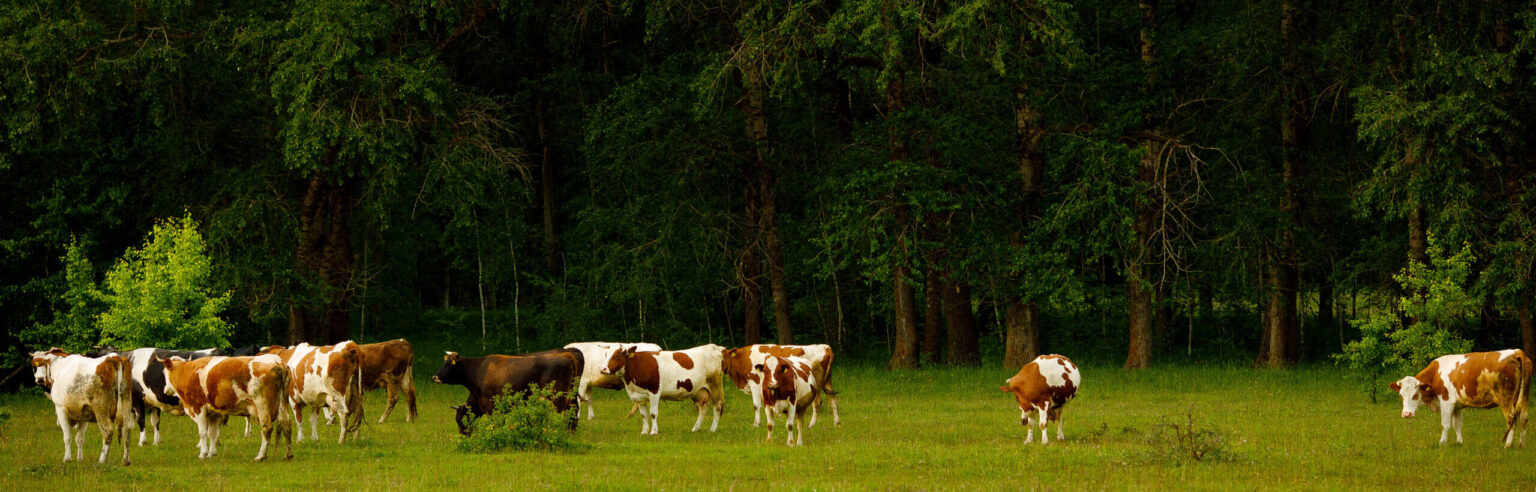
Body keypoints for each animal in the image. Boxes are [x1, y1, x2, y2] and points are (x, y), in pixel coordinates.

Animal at [85, 346, 223, 446]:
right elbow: (155, 422)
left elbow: (141, 421)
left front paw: (142, 441)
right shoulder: (153, 402)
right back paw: (216, 442)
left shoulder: (138, 399)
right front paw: (157, 441)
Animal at [159, 354, 293, 461]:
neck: (188, 373)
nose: (165, 390)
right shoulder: (212, 412)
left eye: (164, 373)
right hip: (283, 403)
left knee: (266, 428)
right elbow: (212, 433)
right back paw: (288, 454)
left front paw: (203, 454)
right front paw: (211, 454)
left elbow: (203, 433)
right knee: (287, 424)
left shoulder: (198, 407)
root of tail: (278, 362)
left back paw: (261, 456)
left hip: (262, 405)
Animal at [433, 348, 583, 435]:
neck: (478, 370)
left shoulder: (491, 404)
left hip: (558, 397)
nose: (435, 377)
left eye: (449, 364)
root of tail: (568, 355)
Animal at [1390, 349, 1532, 447]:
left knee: (1511, 418)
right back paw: (1521, 445)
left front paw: (1442, 443)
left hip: (1505, 399)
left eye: (1415, 395)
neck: (1436, 374)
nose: (1406, 414)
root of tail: (1516, 352)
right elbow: (1457, 425)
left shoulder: (1446, 401)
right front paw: (1459, 443)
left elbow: (1445, 424)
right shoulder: (1457, 405)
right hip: (1524, 396)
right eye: (1401, 395)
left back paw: (1508, 445)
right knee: (1523, 417)